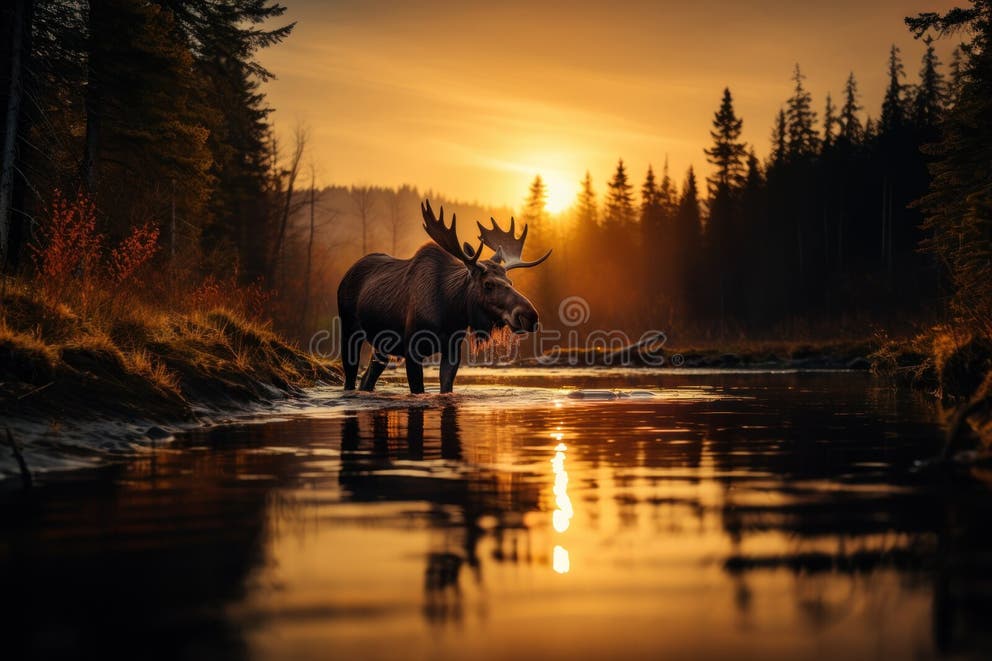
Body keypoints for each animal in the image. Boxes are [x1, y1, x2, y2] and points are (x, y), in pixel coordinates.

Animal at [337, 200, 550, 393]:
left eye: (511, 282)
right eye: (488, 284)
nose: (530, 315)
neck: (450, 311)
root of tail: (347, 274)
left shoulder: (452, 350)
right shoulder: (411, 349)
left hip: (381, 347)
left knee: (367, 379)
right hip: (349, 330)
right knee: (350, 378)